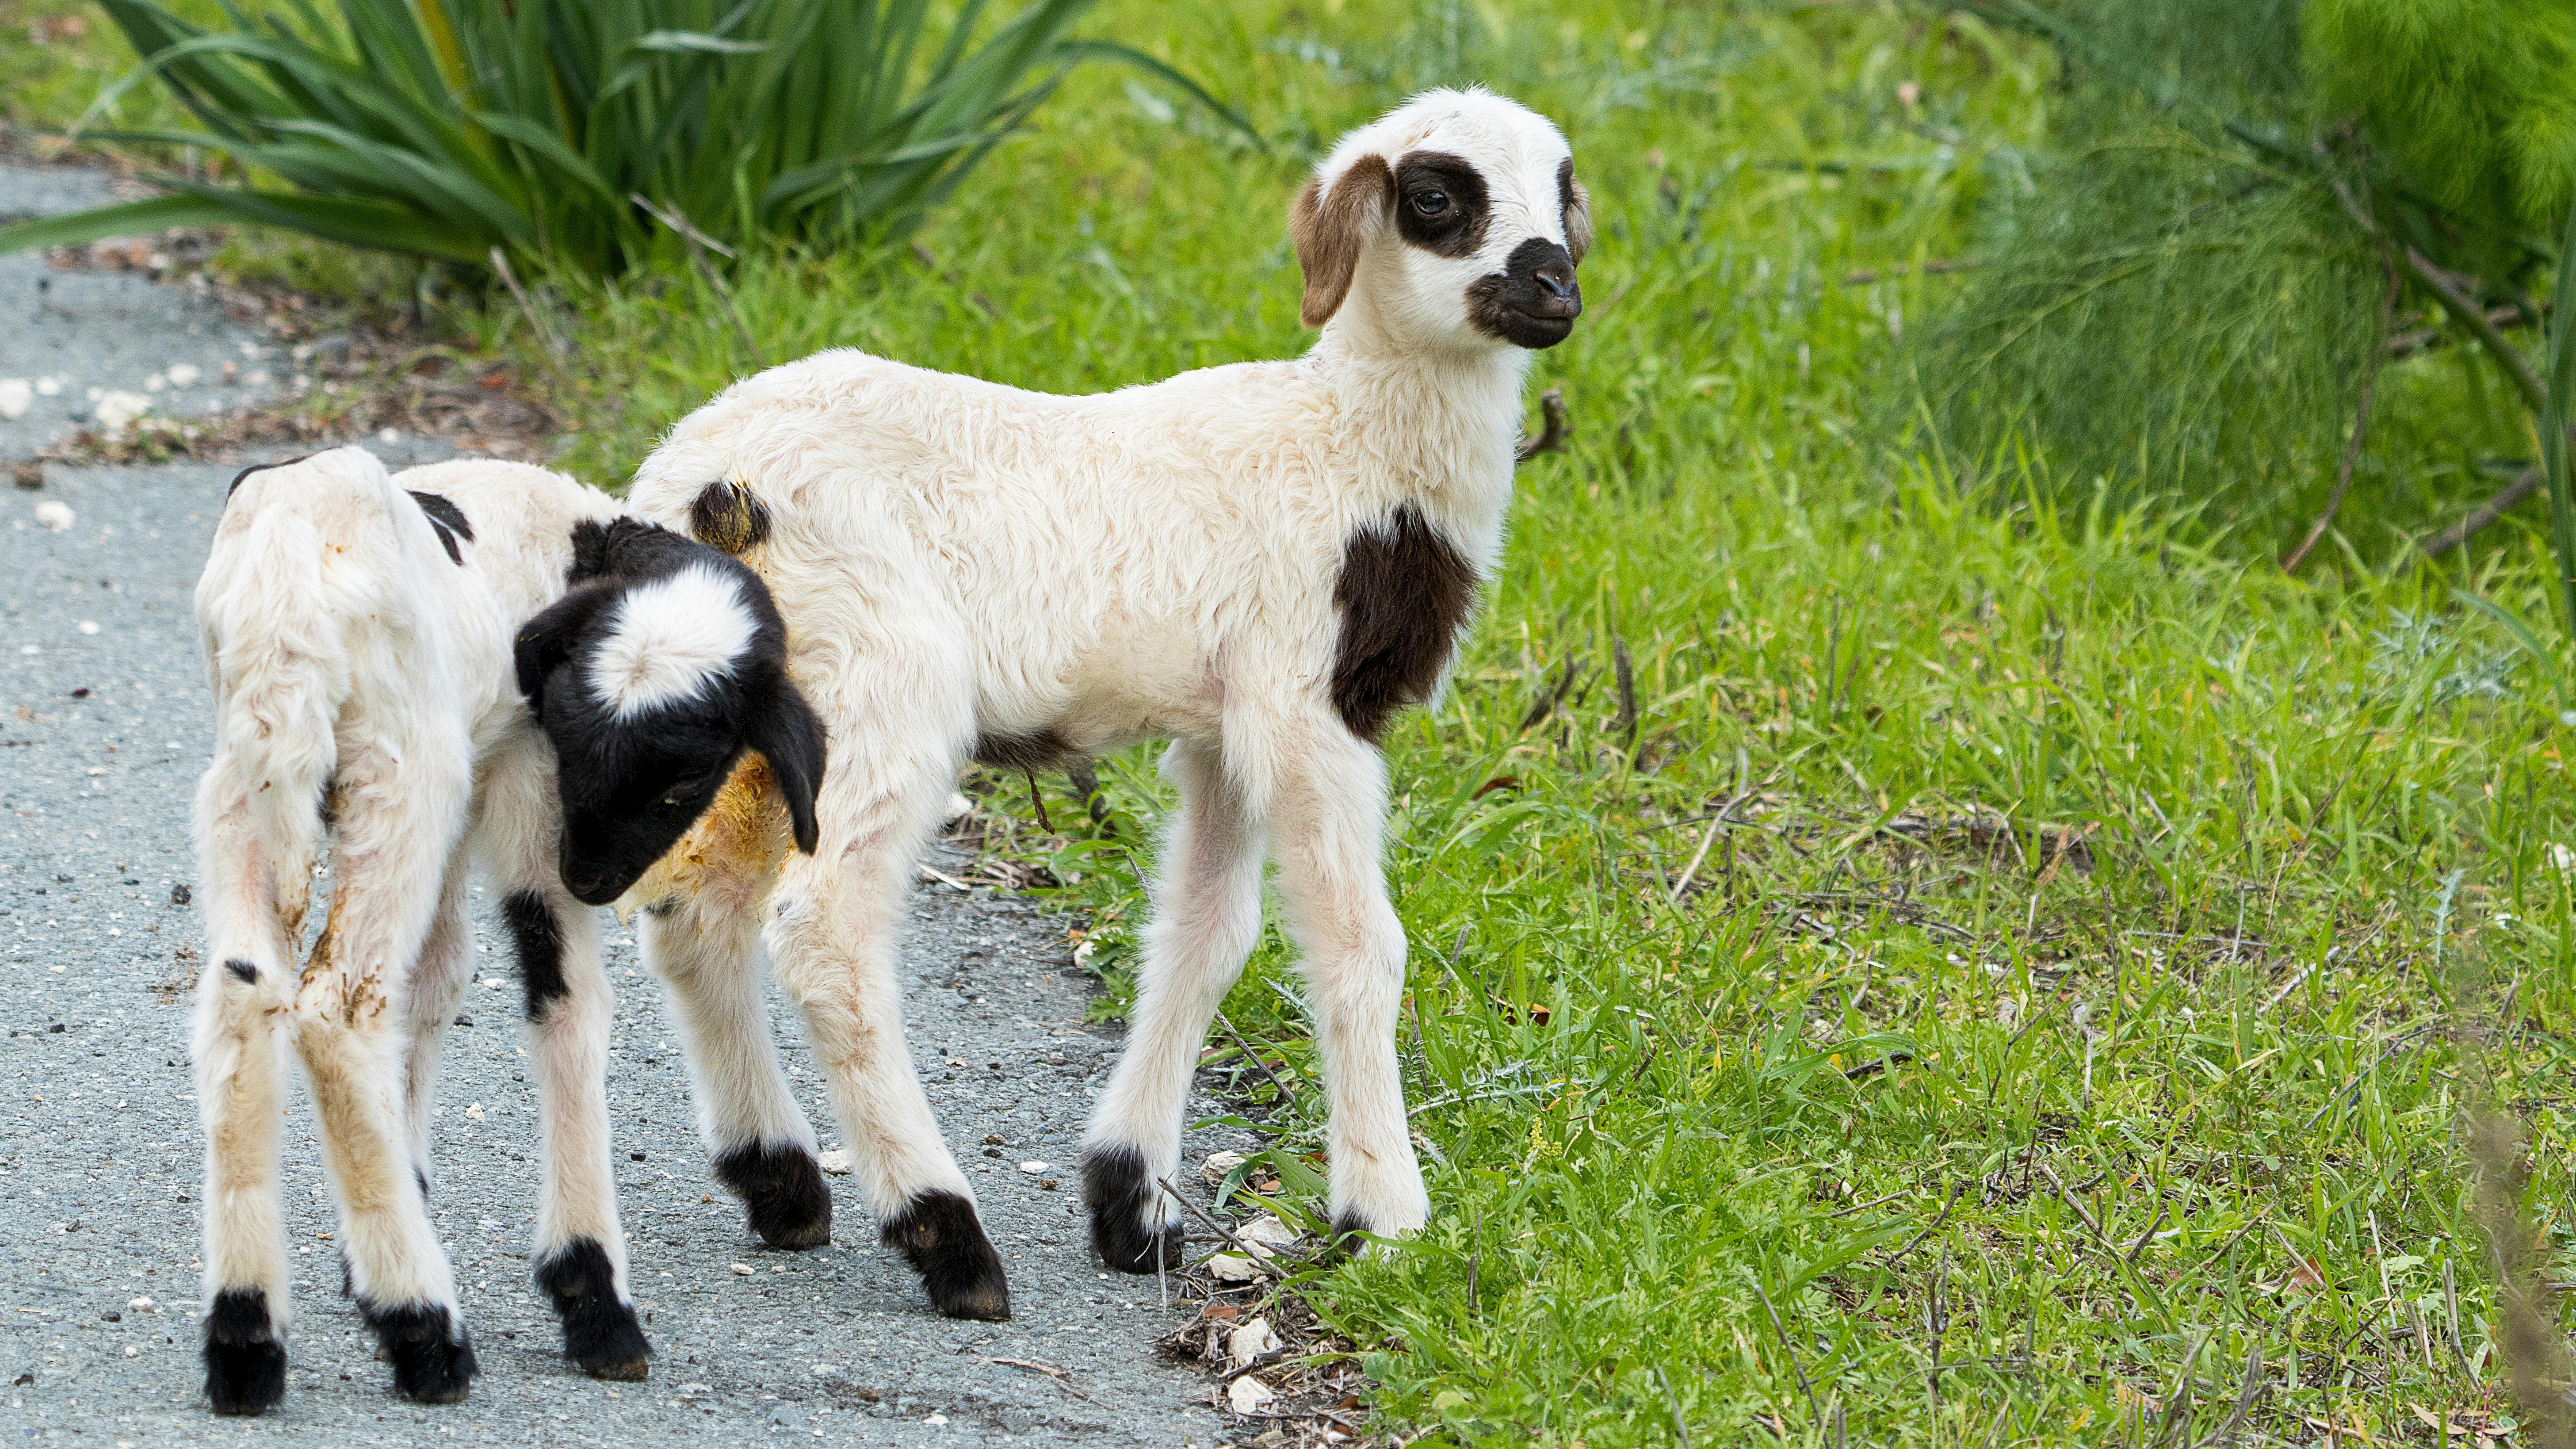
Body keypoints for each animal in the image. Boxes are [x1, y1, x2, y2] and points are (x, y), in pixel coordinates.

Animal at [191, 447, 823, 1415]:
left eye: (682, 782)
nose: (594, 878)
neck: (574, 542)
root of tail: (287, 586)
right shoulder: (527, 777)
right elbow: (567, 1004)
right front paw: (592, 1294)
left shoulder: (481, 791)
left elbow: (438, 979)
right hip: (402, 774)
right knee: (339, 1013)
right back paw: (423, 1329)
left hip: (247, 783)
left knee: (243, 1002)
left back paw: (245, 1337)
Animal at [615, 85, 1588, 1289]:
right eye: (1438, 199)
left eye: (1563, 190)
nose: (1555, 288)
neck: (1349, 448)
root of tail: (705, 488)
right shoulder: (1304, 707)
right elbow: (1361, 946)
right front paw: (1385, 1216)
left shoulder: (1221, 728)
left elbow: (1203, 940)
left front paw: (1132, 1202)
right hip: (884, 679)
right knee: (823, 930)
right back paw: (944, 1233)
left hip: (739, 707)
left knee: (694, 914)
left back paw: (782, 1183)